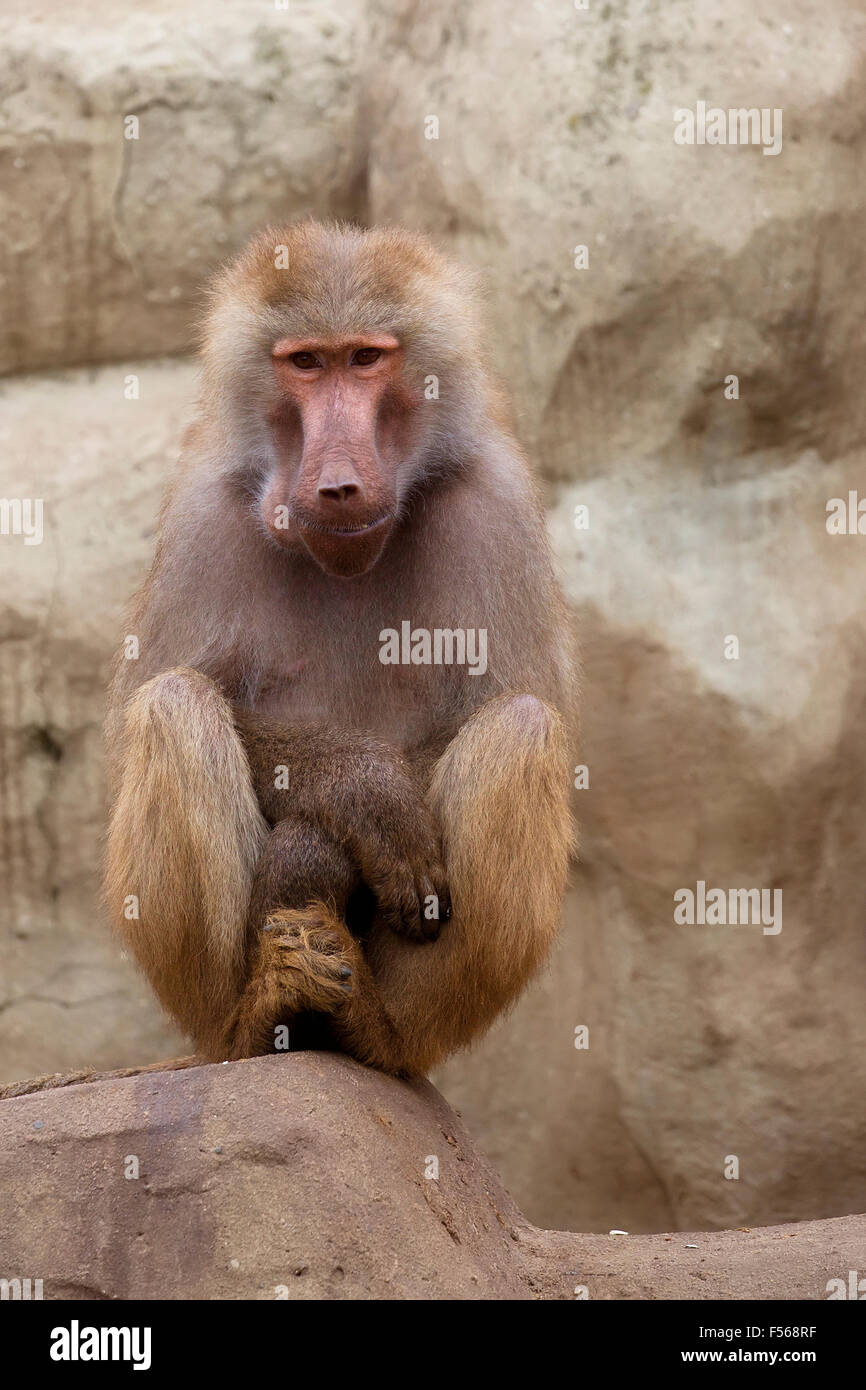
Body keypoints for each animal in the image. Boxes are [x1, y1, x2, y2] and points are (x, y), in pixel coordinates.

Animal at [103, 220, 577, 1078]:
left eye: (364, 359)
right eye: (304, 363)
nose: (336, 487)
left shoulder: (494, 505)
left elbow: (517, 701)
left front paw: (331, 842)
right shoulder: (202, 516)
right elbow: (143, 717)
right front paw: (367, 798)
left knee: (521, 728)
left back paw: (372, 1030)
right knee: (174, 705)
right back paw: (263, 1014)